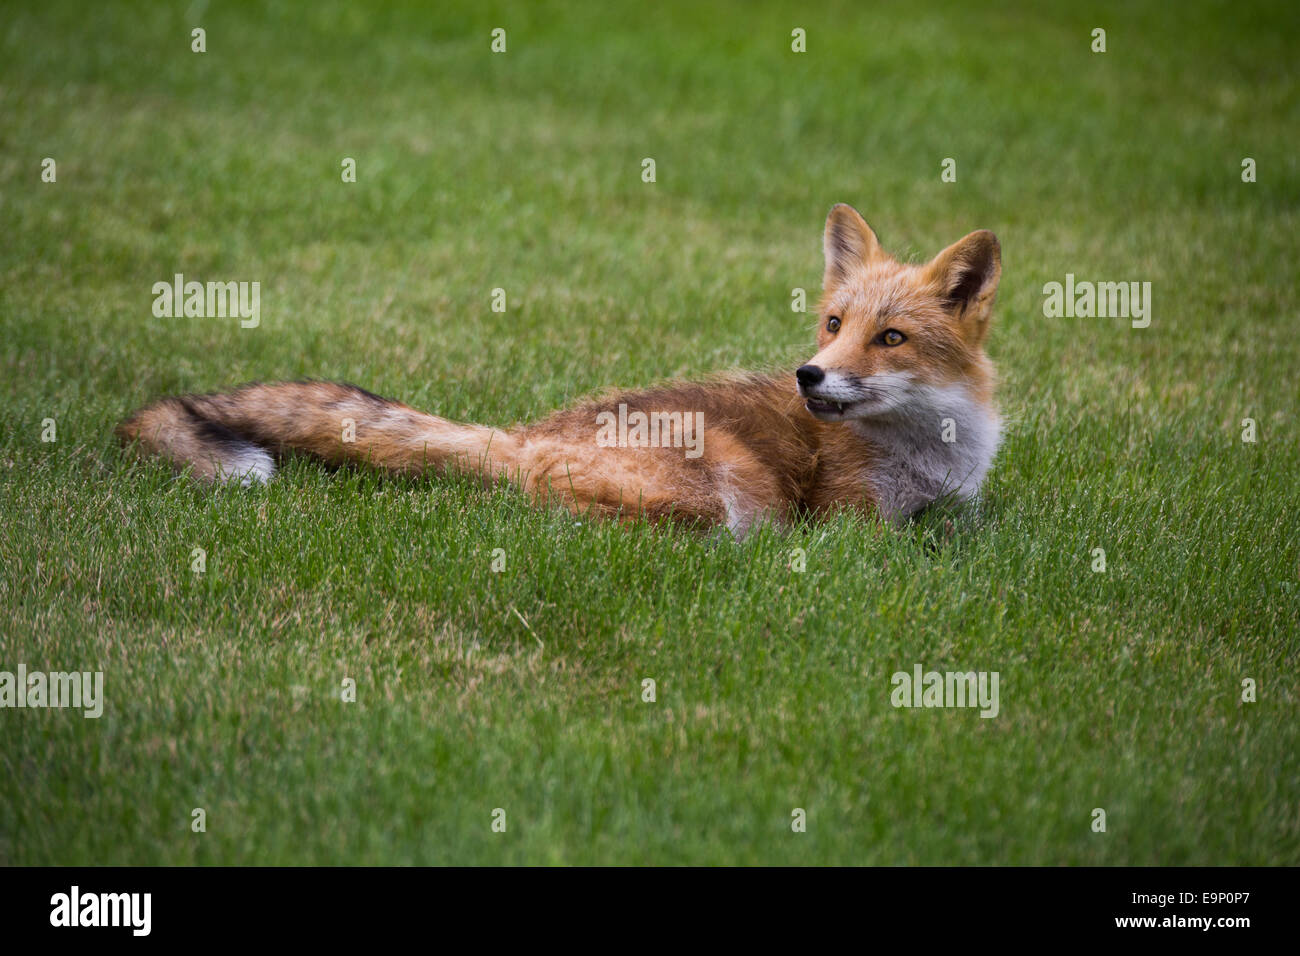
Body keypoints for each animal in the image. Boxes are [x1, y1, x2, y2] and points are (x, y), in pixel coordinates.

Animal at [117, 204, 1003, 537]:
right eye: (833, 325)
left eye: (890, 338)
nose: (809, 377)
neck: (930, 455)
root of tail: (521, 433)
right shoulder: (854, 523)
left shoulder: (960, 508)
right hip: (717, 489)